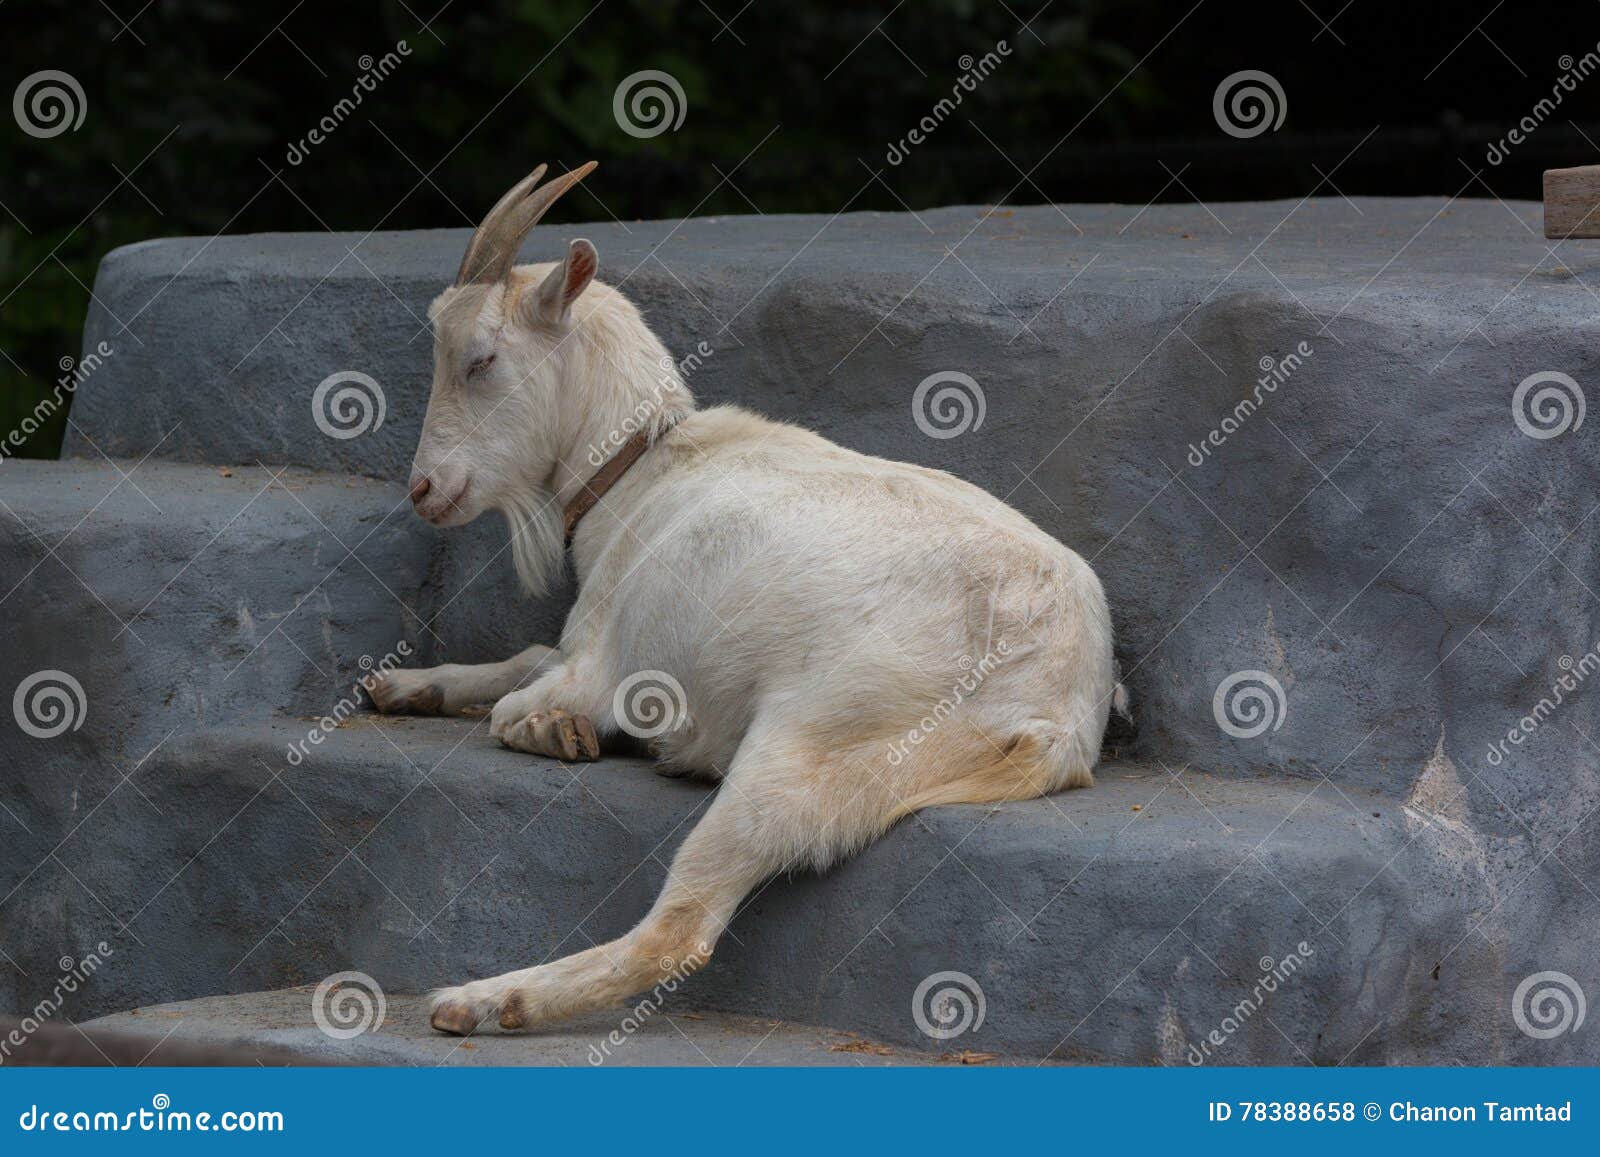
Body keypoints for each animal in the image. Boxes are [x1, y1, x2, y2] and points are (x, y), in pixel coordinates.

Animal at [370, 162, 1119, 1035]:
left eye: (480, 358)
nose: (424, 489)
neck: (641, 469)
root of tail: (1057, 710)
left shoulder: (605, 661)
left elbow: (517, 703)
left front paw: (556, 731)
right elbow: (520, 655)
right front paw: (403, 684)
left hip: (812, 737)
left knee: (678, 932)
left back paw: (479, 999)